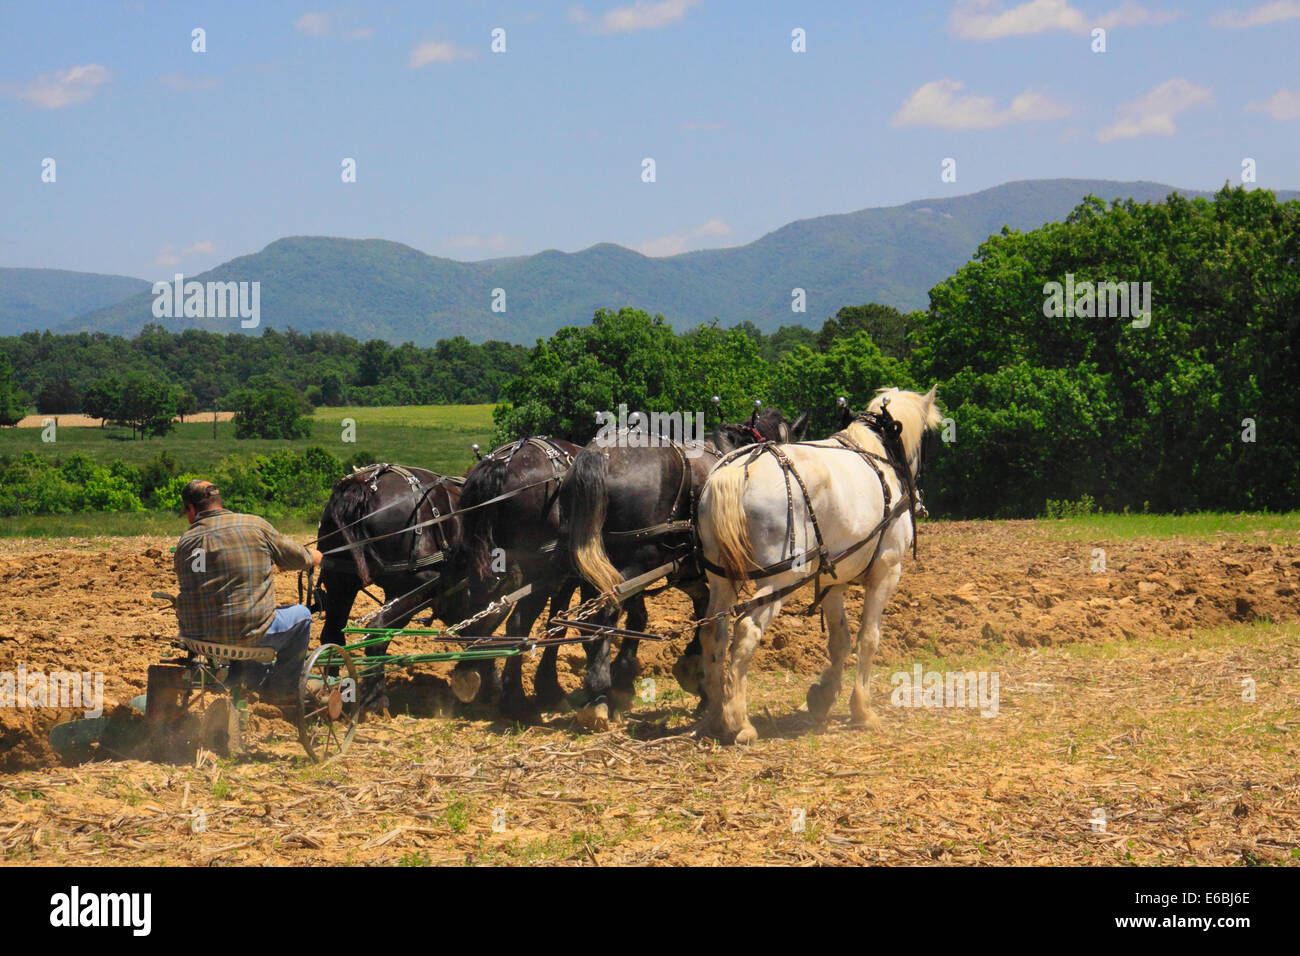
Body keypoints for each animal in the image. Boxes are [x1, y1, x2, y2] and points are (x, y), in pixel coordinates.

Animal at [557, 406, 808, 730]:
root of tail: (601, 453)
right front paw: (699, 680)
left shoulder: (683, 571)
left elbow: (684, 610)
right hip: (636, 560)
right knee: (608, 609)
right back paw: (598, 696)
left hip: (597, 561)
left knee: (595, 611)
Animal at [695, 386, 941, 744]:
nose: (919, 496)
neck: (878, 452)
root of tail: (735, 471)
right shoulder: (887, 570)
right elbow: (868, 638)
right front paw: (862, 710)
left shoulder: (833, 581)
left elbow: (840, 641)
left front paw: (822, 698)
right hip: (778, 580)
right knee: (745, 630)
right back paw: (739, 722)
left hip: (720, 578)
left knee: (713, 631)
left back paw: (716, 715)